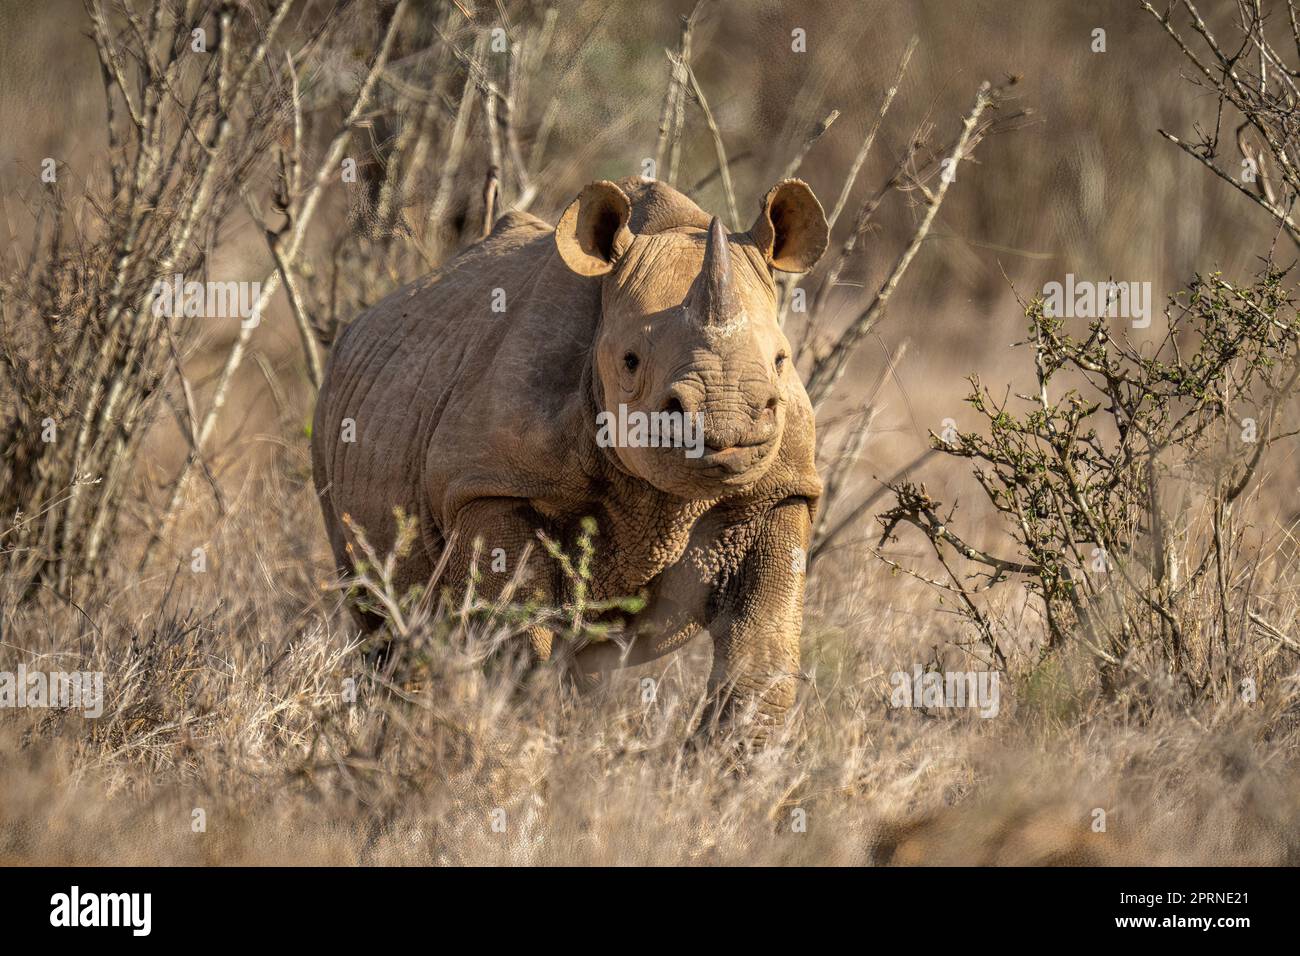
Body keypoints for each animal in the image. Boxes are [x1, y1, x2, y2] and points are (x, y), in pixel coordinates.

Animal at [312, 176, 829, 733]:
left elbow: (761, 662)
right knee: (388, 625)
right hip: (334, 415)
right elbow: (520, 654)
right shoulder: (490, 484)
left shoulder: (781, 489)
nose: (725, 422)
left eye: (781, 361)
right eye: (630, 362)